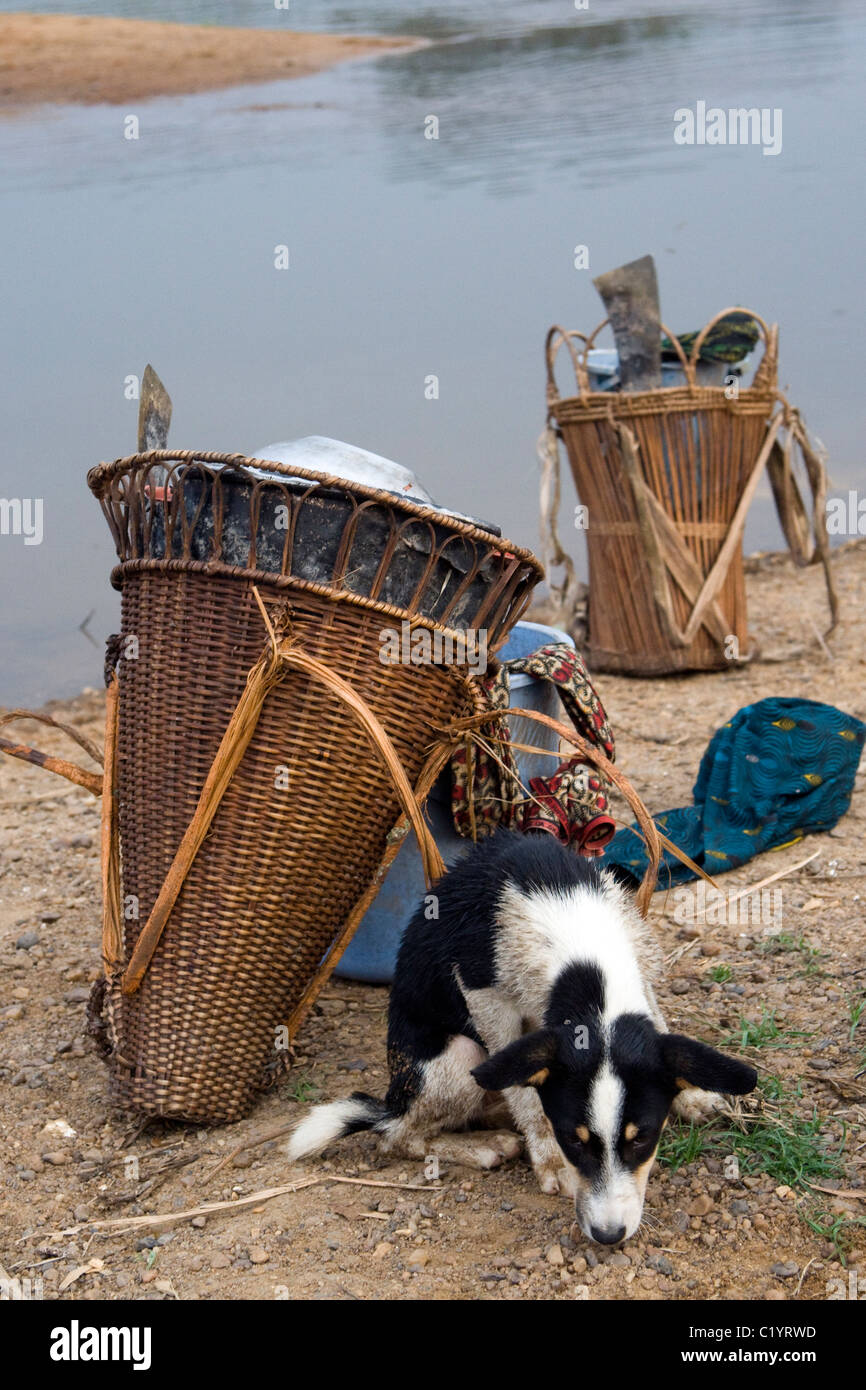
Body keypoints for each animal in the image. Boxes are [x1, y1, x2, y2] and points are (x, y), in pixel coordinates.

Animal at [287, 828, 756, 1245]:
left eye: (642, 1139)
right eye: (572, 1141)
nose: (608, 1236)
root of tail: (393, 1100)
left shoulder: (639, 964)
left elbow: (659, 1026)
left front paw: (693, 1094)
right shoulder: (484, 995)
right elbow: (528, 1097)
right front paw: (551, 1160)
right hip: (458, 1057)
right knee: (396, 1138)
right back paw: (479, 1146)